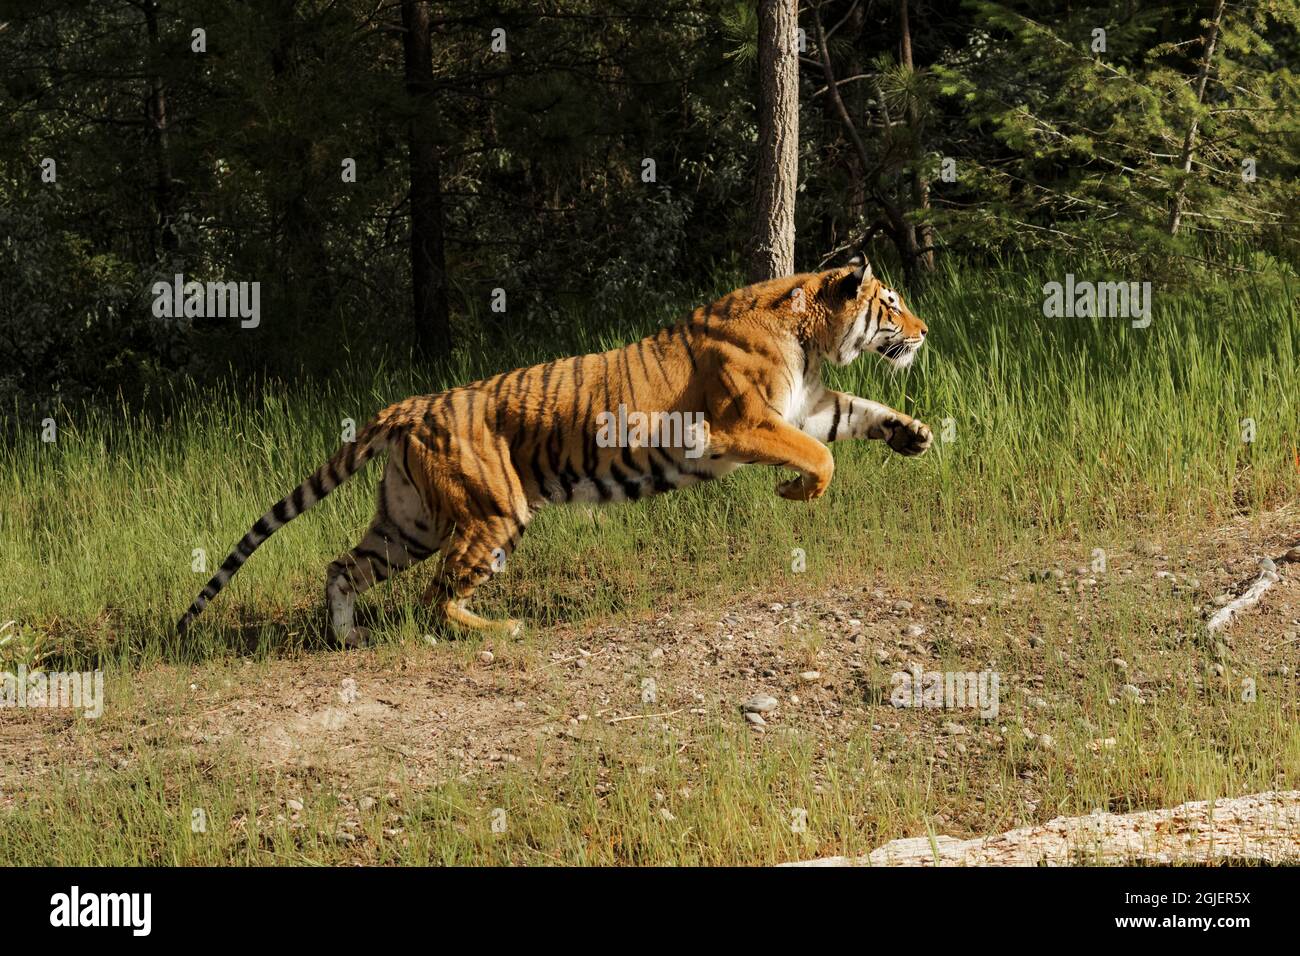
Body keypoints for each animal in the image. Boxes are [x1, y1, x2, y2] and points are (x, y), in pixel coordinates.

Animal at [176, 256, 931, 645]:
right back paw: (499, 628)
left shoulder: (807, 405)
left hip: (408, 523)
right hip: (492, 513)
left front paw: (915, 434)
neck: (811, 334)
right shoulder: (740, 423)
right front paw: (794, 490)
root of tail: (413, 404)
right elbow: (820, 456)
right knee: (435, 596)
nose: (923, 332)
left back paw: (345, 638)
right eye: (890, 303)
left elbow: (857, 417)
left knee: (343, 566)